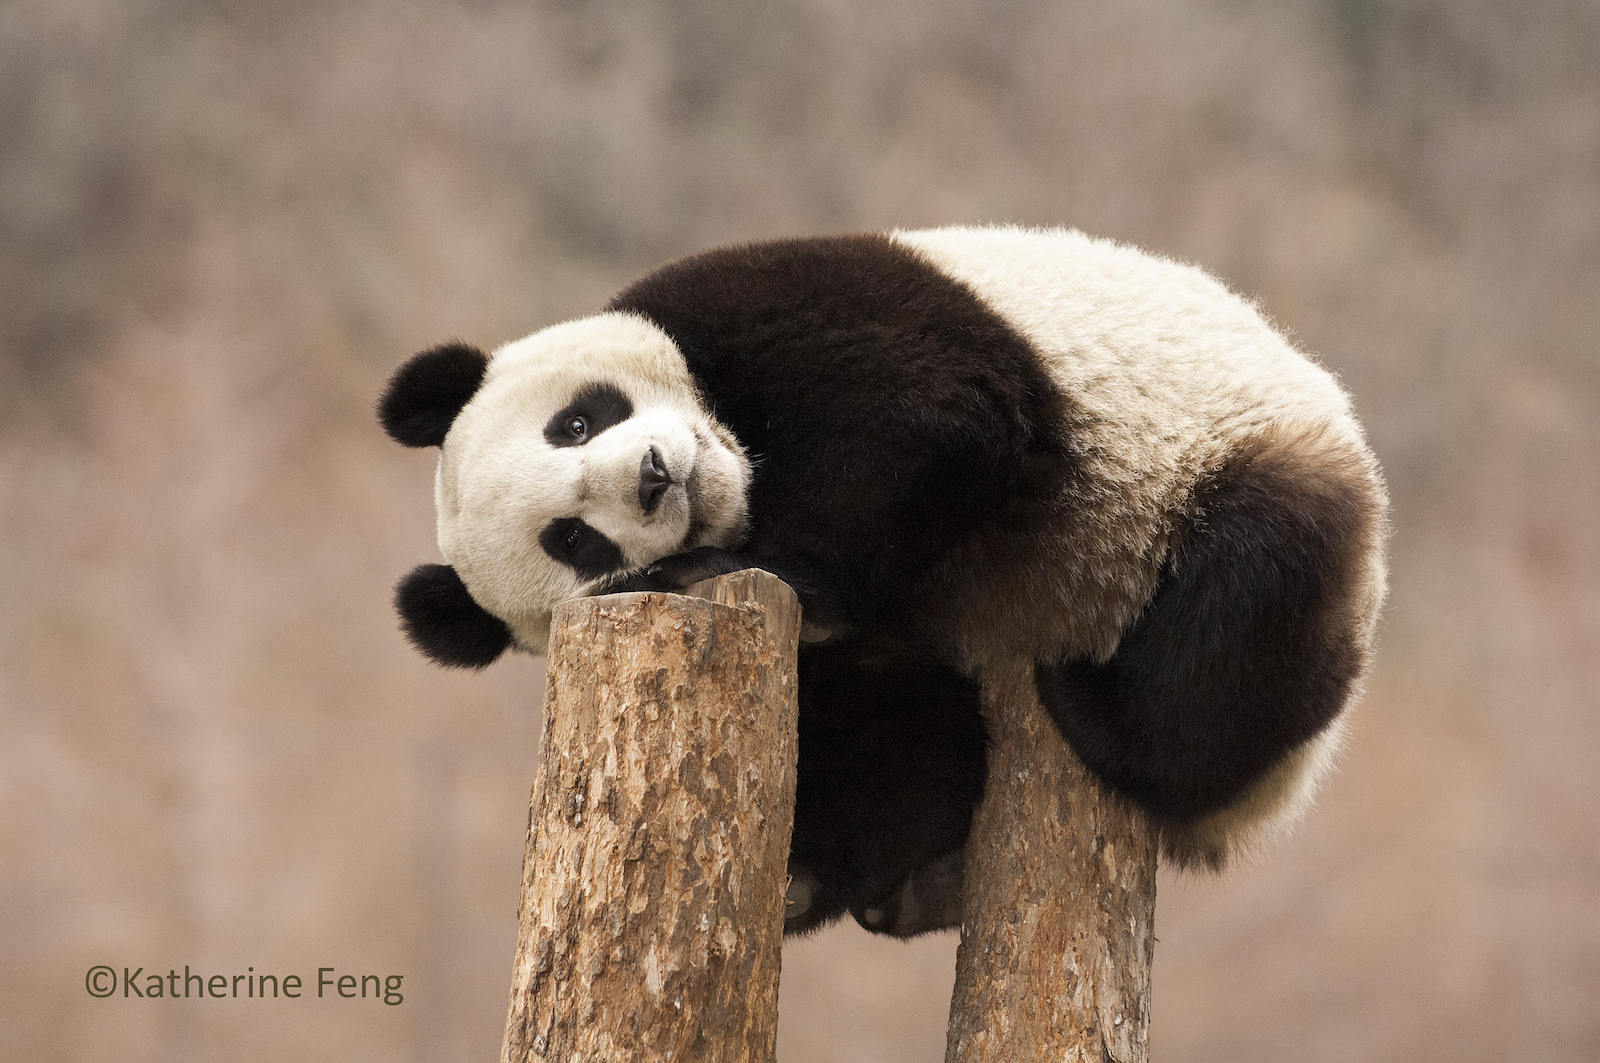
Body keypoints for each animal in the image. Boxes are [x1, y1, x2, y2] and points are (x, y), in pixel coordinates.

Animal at [378, 225, 1389, 938]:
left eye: (578, 421)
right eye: (574, 540)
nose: (657, 477)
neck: (743, 466)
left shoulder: (771, 302)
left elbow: (940, 410)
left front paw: (736, 562)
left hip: (1224, 456)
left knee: (1246, 592)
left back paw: (1095, 710)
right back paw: (889, 884)